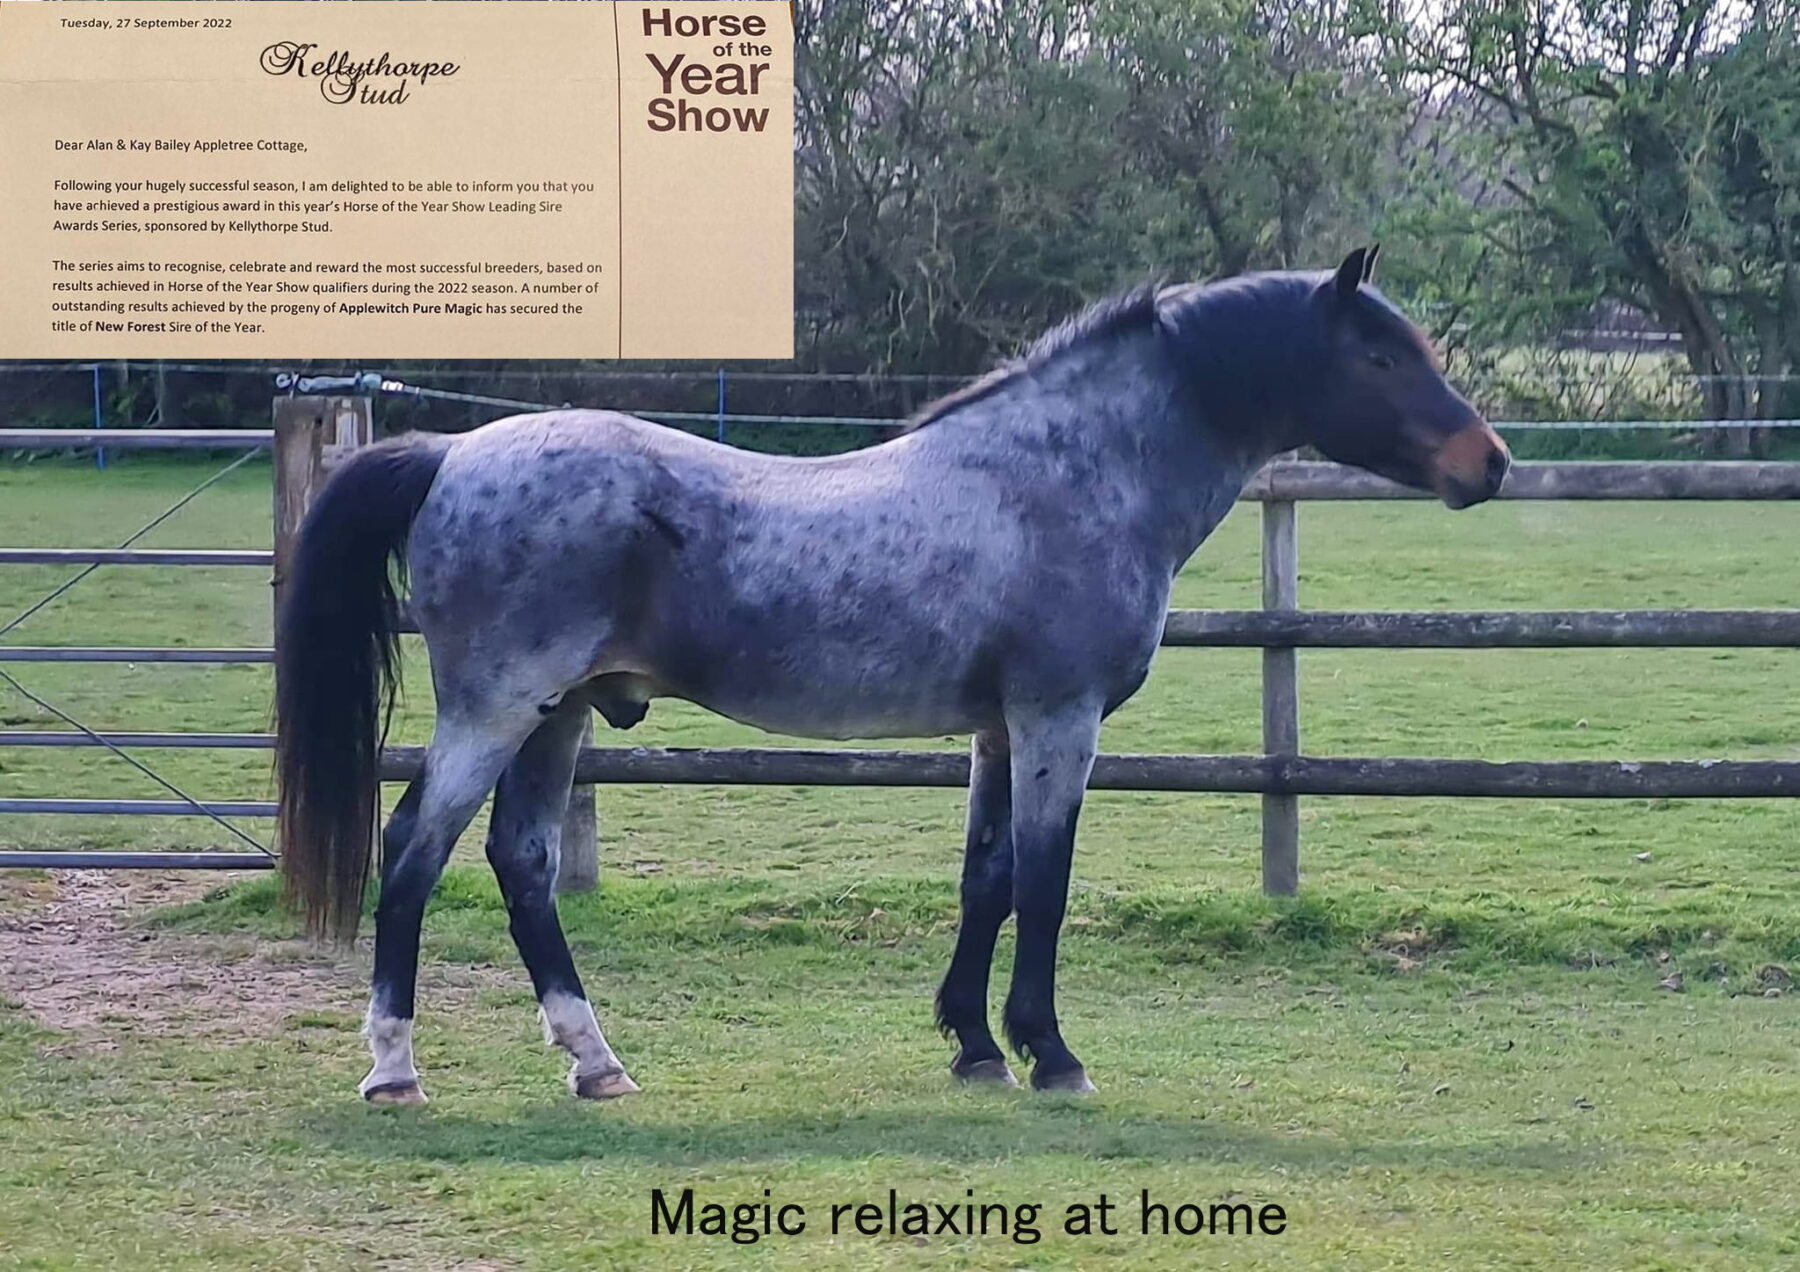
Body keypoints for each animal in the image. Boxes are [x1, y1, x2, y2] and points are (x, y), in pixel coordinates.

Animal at [275, 247, 1510, 1104]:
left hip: (558, 716)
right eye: (1382, 356)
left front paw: (976, 1045)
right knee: (413, 853)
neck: (1065, 475)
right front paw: (1052, 1054)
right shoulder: (1057, 719)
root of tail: (452, 453)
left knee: (521, 864)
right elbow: (1045, 883)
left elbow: (987, 879)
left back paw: (597, 1063)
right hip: (496, 711)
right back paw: (395, 1070)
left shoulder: (999, 731)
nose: (1488, 462)